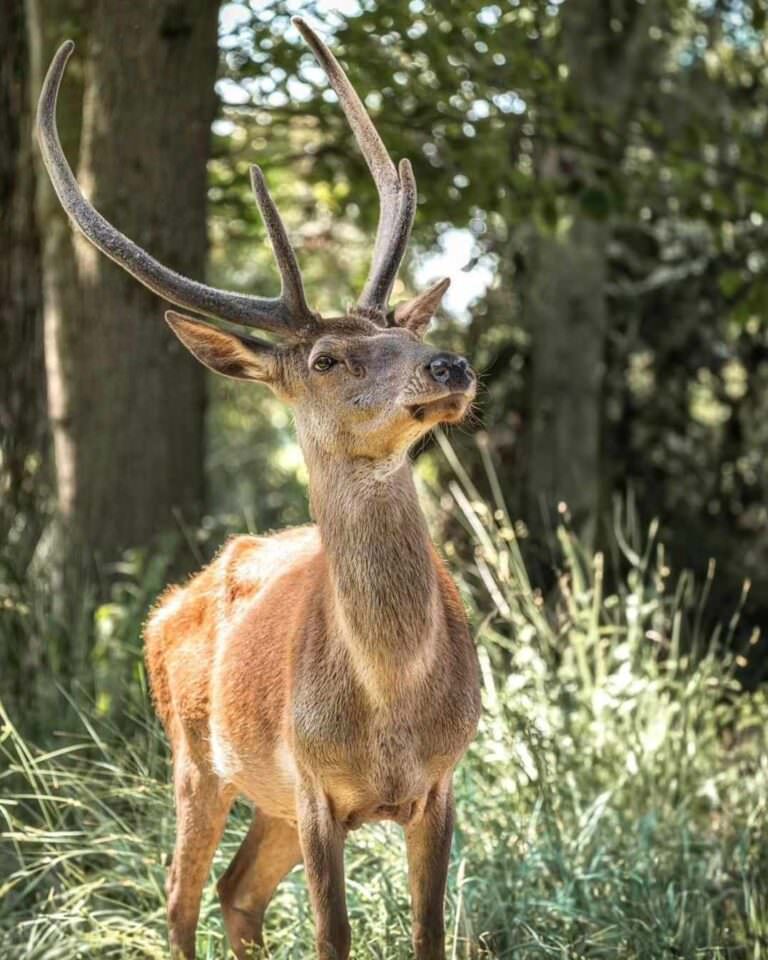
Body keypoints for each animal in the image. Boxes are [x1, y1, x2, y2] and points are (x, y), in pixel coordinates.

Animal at [37, 18, 481, 960]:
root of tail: (166, 606)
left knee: (236, 893)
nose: (449, 364)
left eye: (403, 331)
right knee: (178, 894)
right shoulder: (313, 786)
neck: (388, 709)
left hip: (260, 797)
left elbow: (428, 935)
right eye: (327, 359)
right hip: (193, 757)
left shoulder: (442, 783)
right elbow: (333, 938)